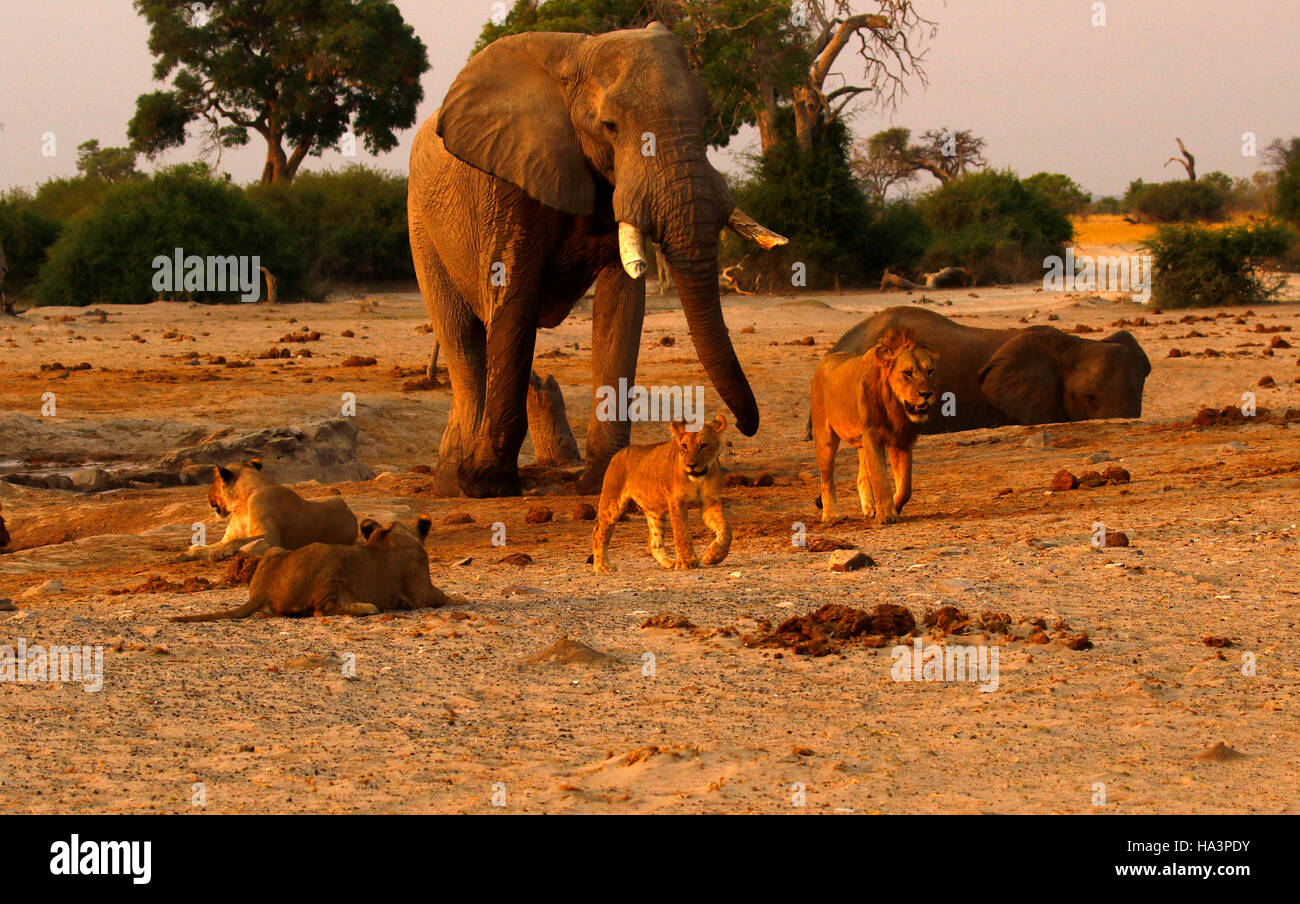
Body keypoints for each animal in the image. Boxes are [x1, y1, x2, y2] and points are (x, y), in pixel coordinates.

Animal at [172, 515, 464, 621]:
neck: (393, 532)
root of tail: (262, 590)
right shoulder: (422, 592)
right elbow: (447, 596)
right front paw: (461, 595)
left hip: (274, 551)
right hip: (328, 556)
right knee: (322, 609)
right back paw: (366, 607)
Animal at [192, 459, 358, 560]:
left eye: (213, 481)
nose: (206, 495)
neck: (242, 506)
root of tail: (351, 513)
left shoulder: (272, 538)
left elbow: (238, 541)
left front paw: (218, 552)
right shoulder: (226, 538)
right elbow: (202, 548)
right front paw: (187, 553)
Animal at [592, 414, 730, 572]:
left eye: (704, 445)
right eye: (684, 446)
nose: (691, 465)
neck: (698, 478)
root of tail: (619, 453)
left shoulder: (710, 502)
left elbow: (726, 529)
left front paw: (713, 556)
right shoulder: (676, 501)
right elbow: (681, 532)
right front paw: (687, 562)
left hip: (655, 512)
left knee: (653, 542)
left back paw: (669, 562)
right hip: (612, 504)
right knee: (599, 534)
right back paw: (602, 566)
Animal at [810, 328, 938, 525]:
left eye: (930, 371)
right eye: (907, 373)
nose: (927, 394)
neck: (895, 406)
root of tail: (824, 360)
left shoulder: (902, 439)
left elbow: (905, 486)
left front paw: (894, 506)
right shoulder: (872, 435)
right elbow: (880, 478)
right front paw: (887, 515)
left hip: (861, 442)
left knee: (861, 477)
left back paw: (870, 509)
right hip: (825, 438)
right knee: (826, 480)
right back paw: (831, 516)